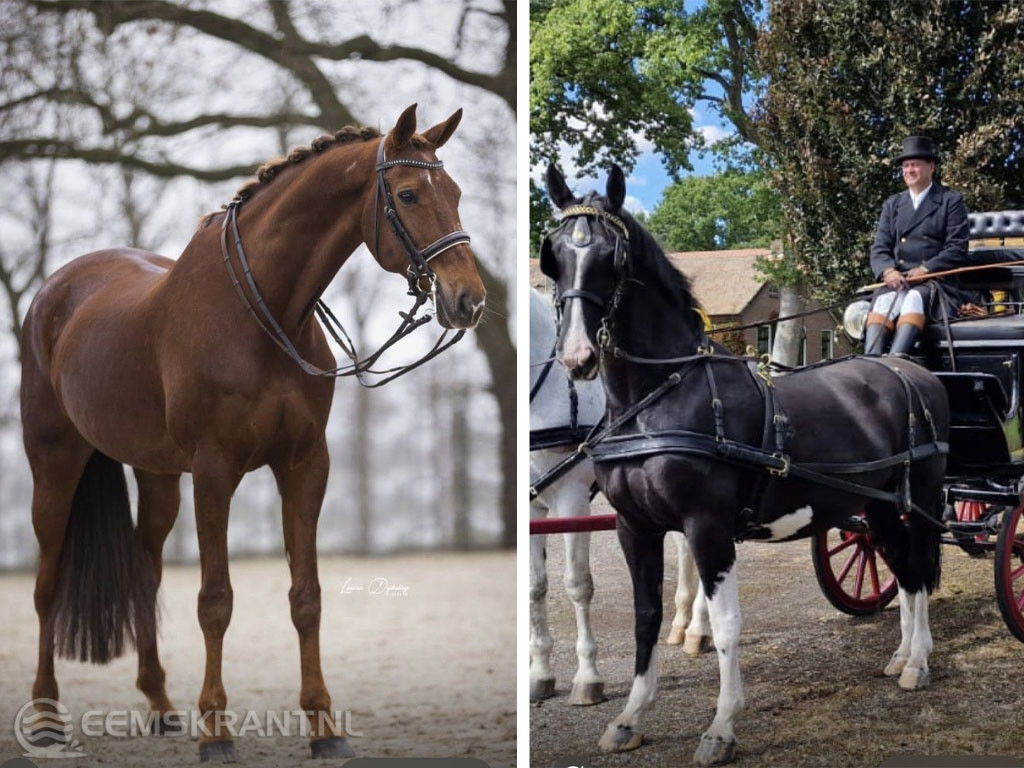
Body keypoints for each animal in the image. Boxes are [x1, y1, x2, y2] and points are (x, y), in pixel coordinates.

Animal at [19, 103, 485, 763]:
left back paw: (160, 706)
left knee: (145, 573)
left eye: (457, 193)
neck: (262, 310)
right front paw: (216, 732)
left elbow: (306, 597)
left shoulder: (305, 465)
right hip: (54, 462)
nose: (469, 299)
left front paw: (324, 728)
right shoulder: (216, 472)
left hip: (157, 475)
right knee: (47, 584)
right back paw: (45, 717)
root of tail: (54, 293)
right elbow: (215, 602)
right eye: (409, 194)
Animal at [529, 288, 712, 706]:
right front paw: (540, 672)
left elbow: (577, 584)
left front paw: (587, 676)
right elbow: (535, 589)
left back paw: (698, 629)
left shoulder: (572, 500)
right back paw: (682, 625)